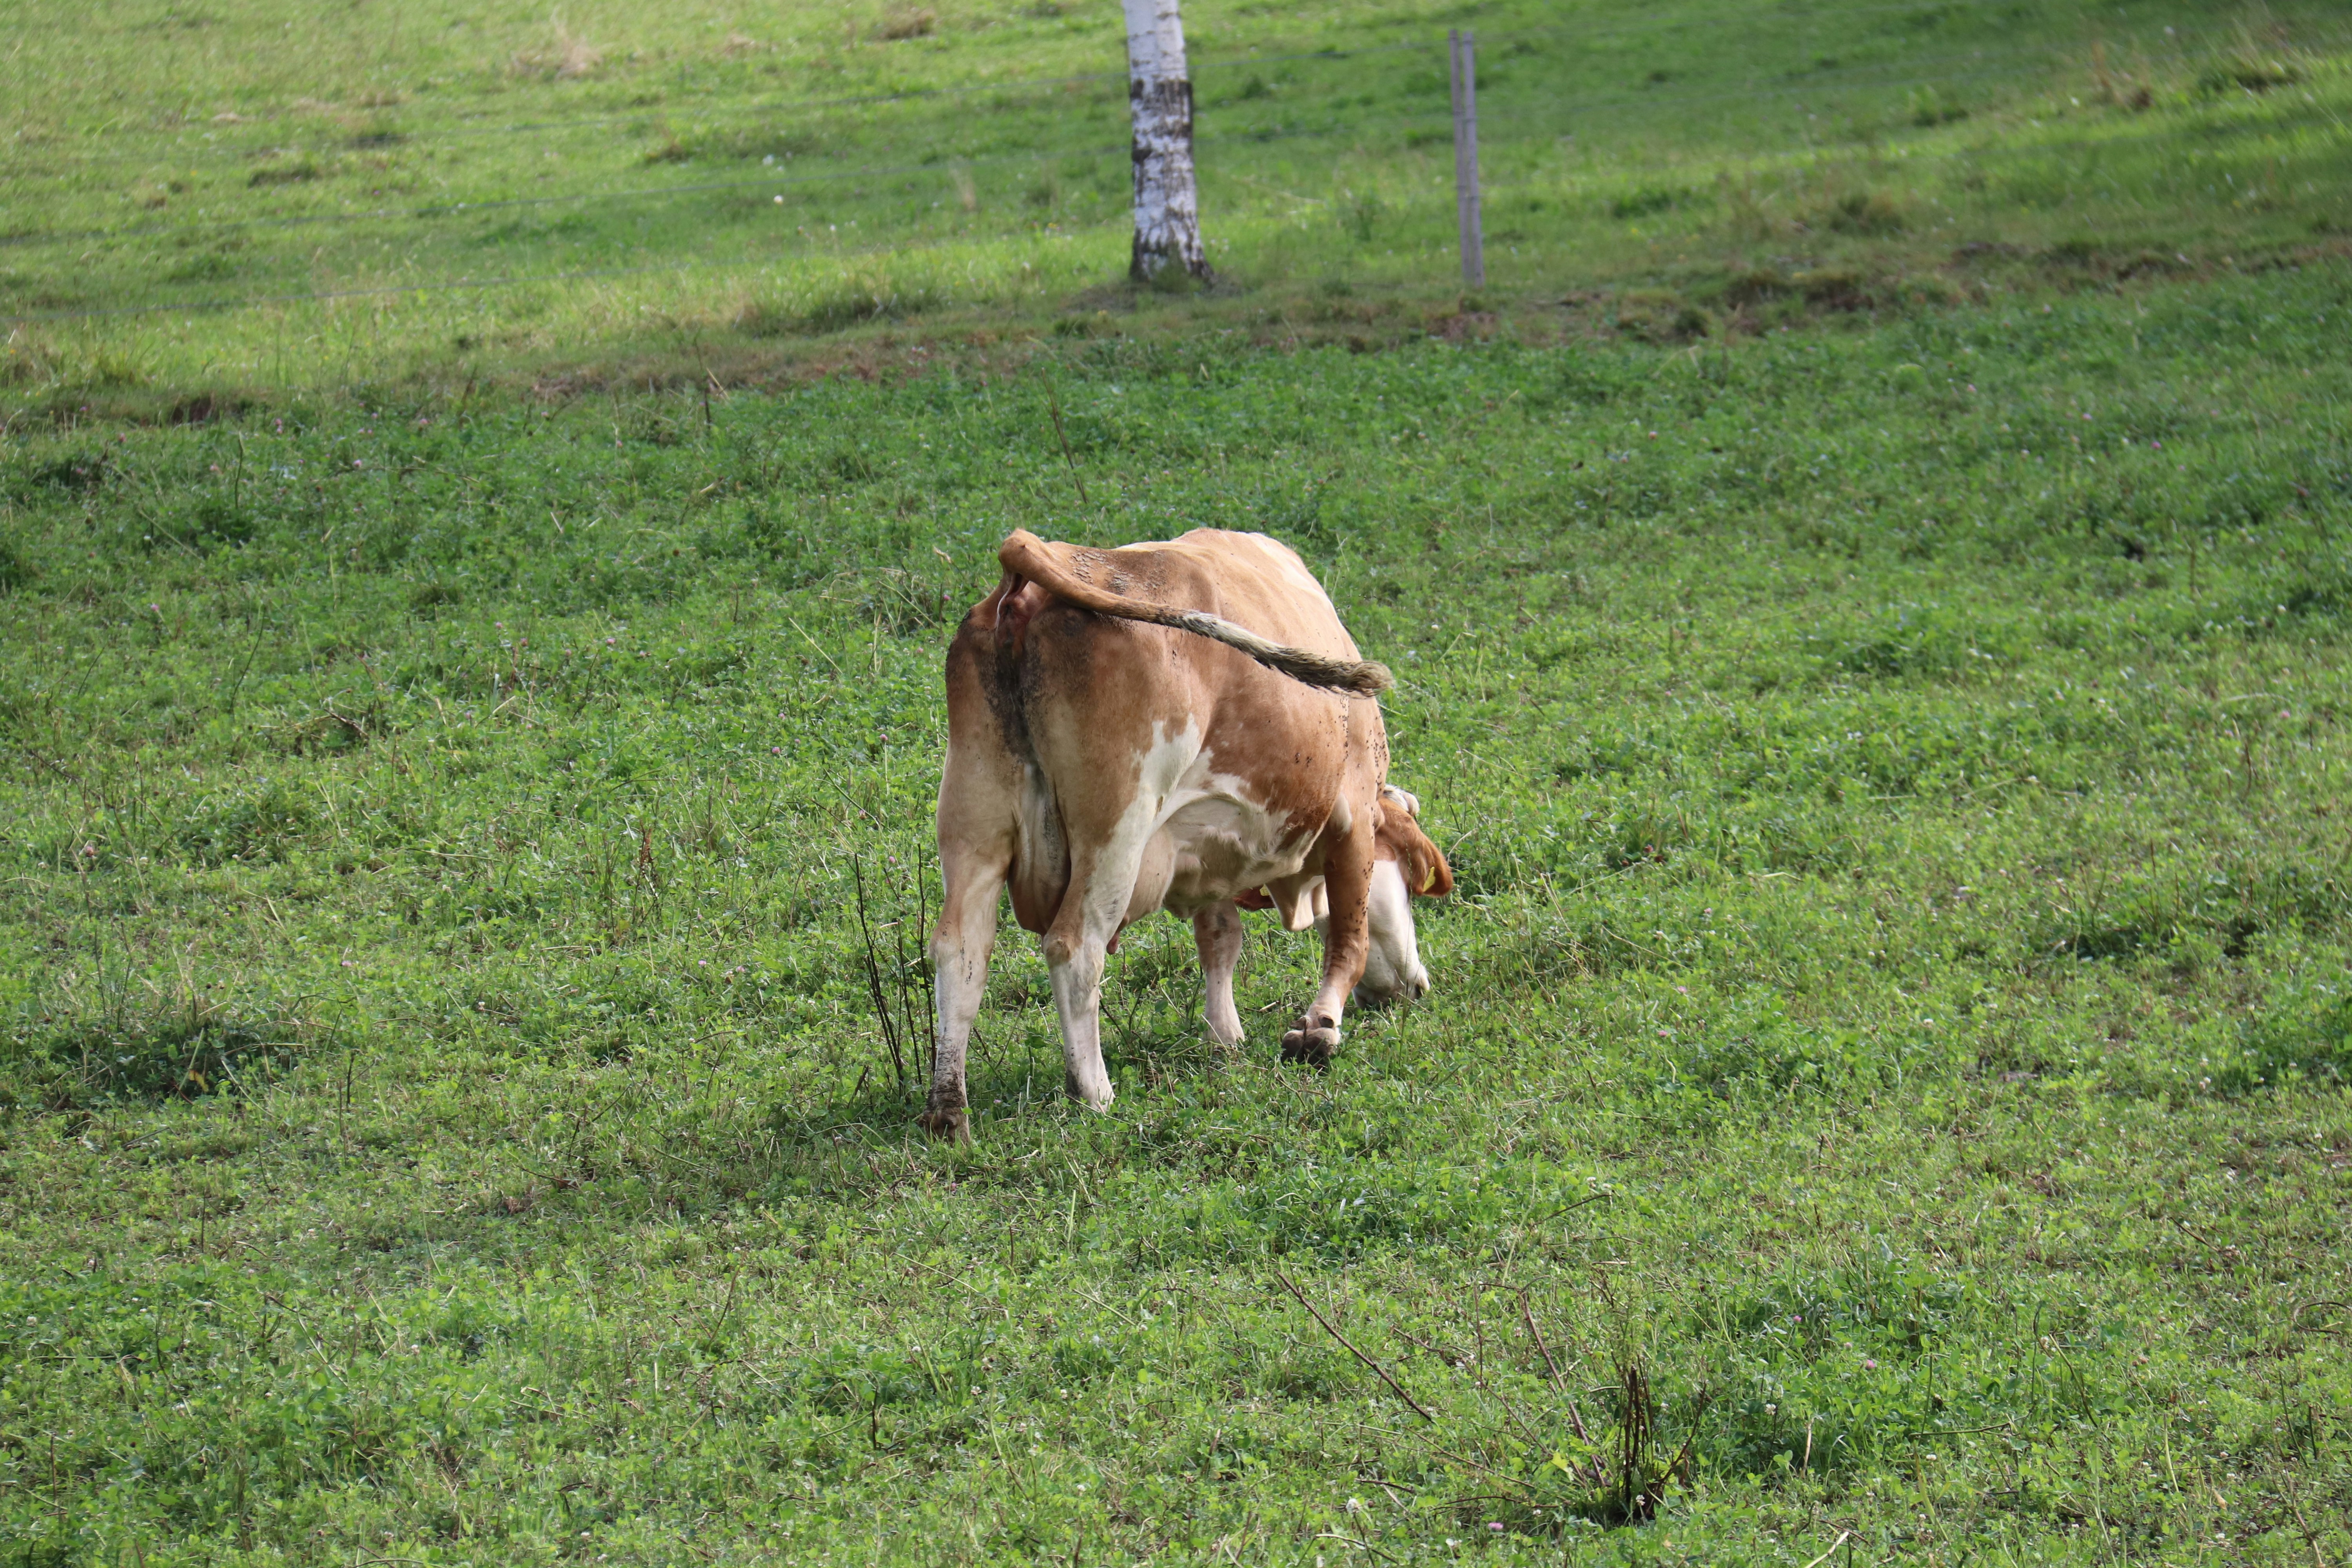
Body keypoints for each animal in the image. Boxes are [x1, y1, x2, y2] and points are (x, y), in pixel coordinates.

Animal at [921, 527, 1452, 1143]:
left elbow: (1220, 938)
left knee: (961, 950)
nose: (1417, 985)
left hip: (973, 819)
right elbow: (1350, 940)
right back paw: (1094, 1092)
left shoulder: (1201, 849)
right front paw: (1319, 1029)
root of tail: (1039, 558)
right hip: (1117, 827)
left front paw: (1226, 1036)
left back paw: (948, 1110)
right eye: (1410, 887)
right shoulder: (1354, 817)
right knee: (1075, 949)